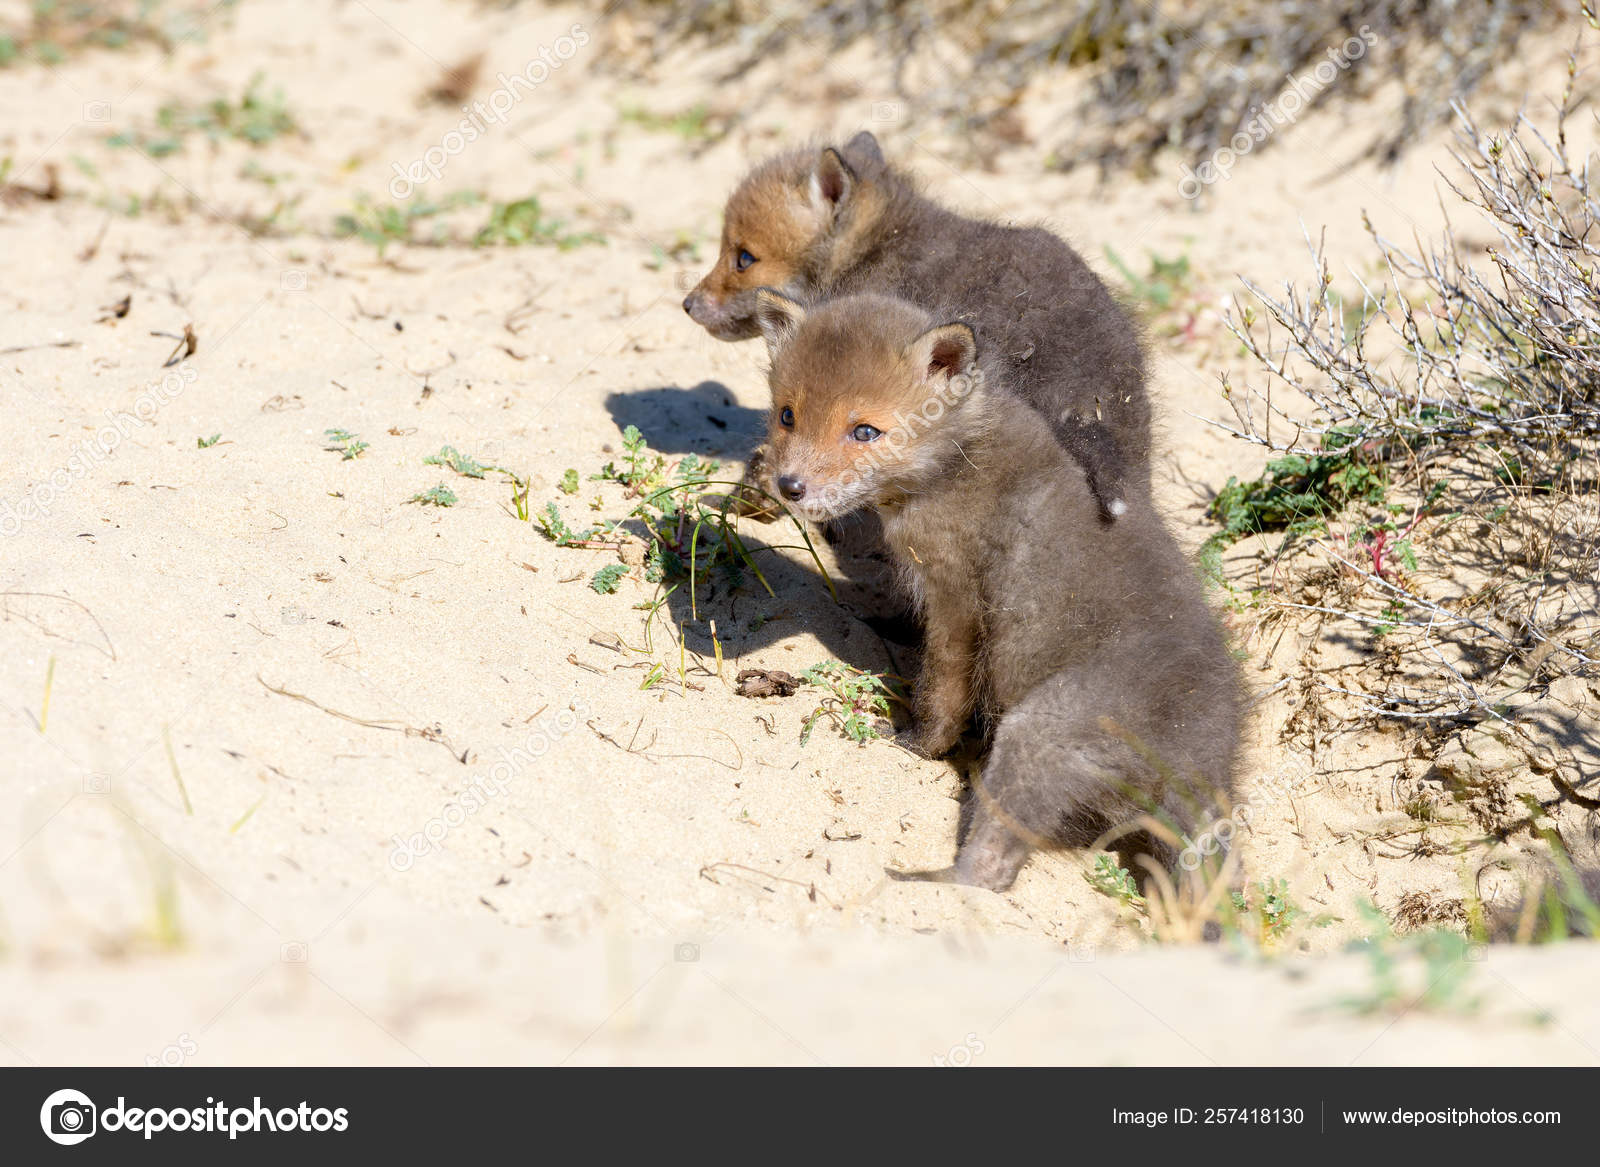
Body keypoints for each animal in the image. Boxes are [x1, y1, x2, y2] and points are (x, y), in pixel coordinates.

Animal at [753, 289, 1240, 891]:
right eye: (787, 415)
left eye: (864, 431)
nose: (789, 486)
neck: (955, 459)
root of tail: (1202, 762)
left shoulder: (955, 598)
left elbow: (941, 691)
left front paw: (918, 744)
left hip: (1034, 733)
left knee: (992, 874)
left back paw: (923, 882)